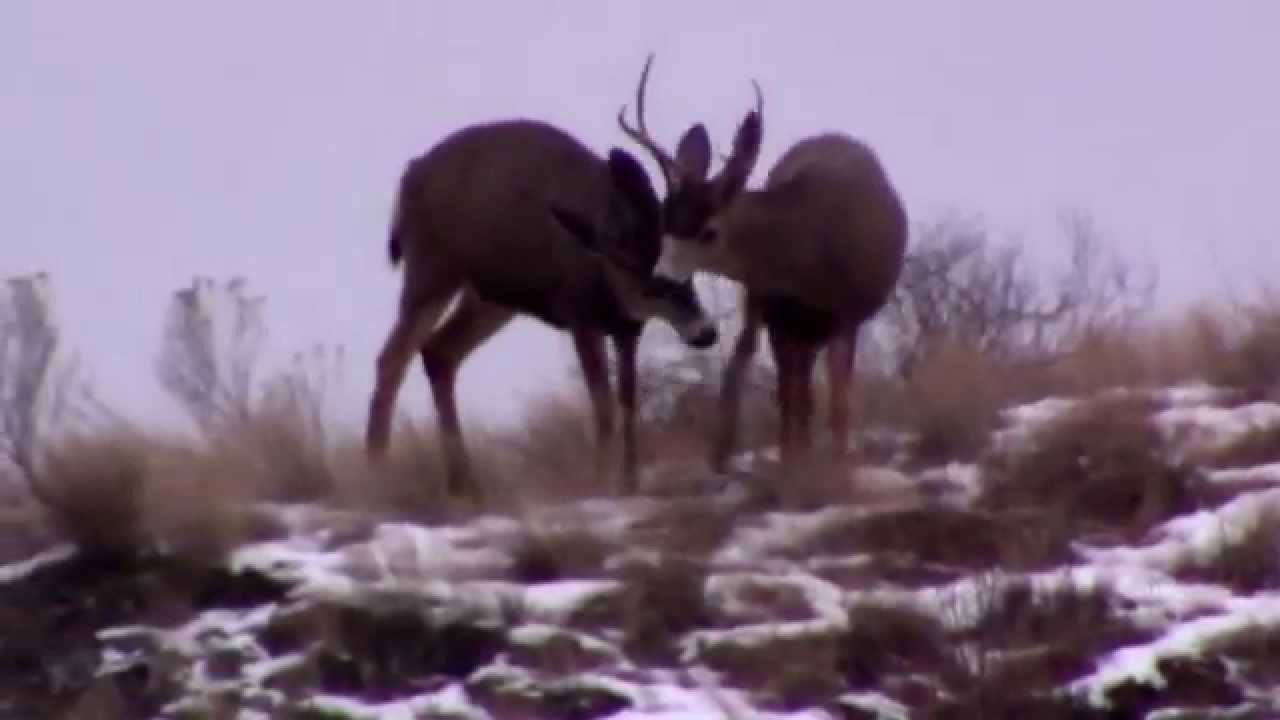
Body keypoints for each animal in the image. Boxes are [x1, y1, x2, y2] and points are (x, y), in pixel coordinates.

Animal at [365, 118, 719, 498]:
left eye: (690, 269)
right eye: (655, 281)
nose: (707, 333)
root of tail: (410, 175)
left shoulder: (627, 328)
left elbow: (628, 403)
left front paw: (630, 482)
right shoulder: (580, 315)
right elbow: (603, 405)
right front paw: (599, 482)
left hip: (492, 296)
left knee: (439, 351)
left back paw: (465, 484)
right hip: (432, 268)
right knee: (393, 357)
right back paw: (377, 469)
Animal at [617, 55, 908, 473]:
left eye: (709, 232)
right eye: (664, 222)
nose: (661, 280)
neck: (805, 256)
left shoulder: (845, 315)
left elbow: (839, 402)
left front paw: (838, 465)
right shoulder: (778, 317)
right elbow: (788, 399)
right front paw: (791, 464)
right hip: (771, 313)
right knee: (770, 374)